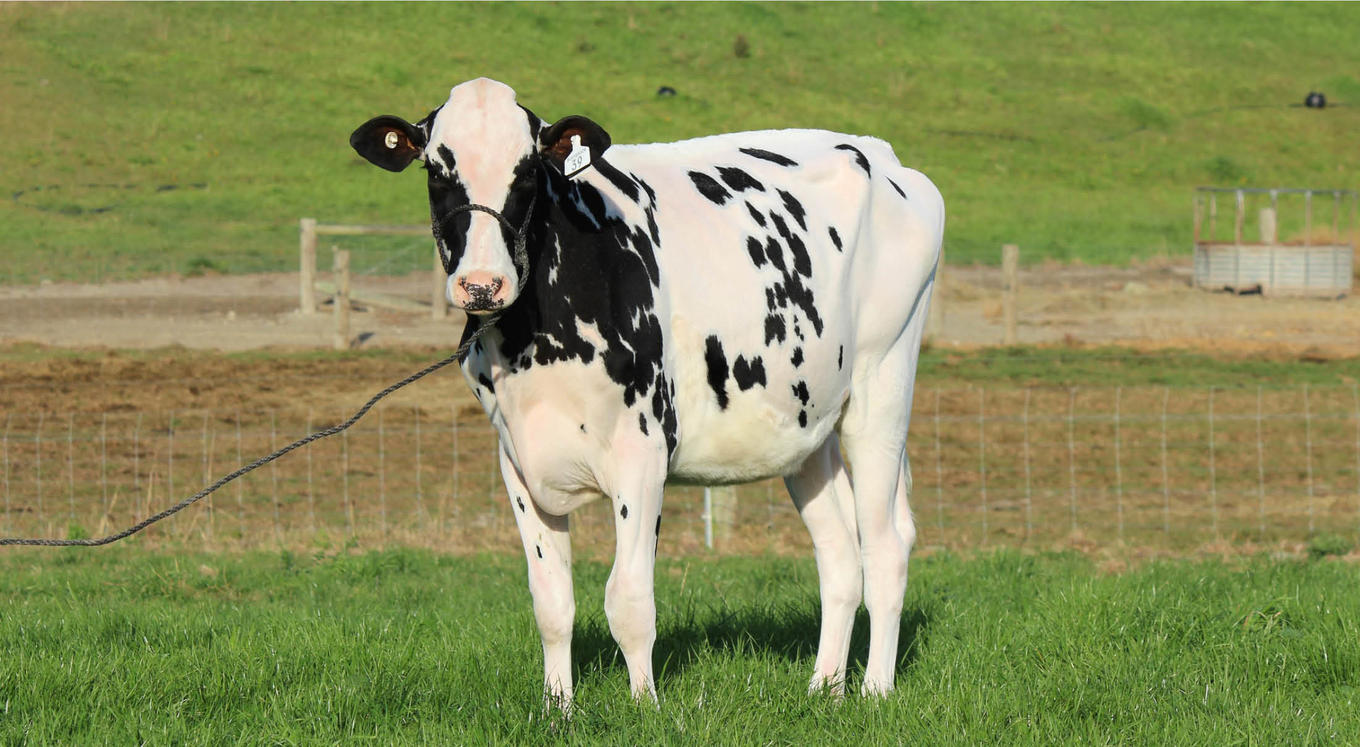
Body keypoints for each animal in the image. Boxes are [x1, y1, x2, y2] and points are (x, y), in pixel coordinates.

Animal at [350, 78, 944, 707]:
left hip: (883, 386)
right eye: (437, 171)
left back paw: (875, 690)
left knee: (885, 545)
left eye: (529, 170)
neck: (531, 344)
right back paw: (823, 688)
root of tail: (880, 153)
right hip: (807, 424)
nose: (482, 285)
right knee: (840, 557)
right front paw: (558, 709)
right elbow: (551, 604)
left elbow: (629, 599)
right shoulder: (517, 458)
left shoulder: (643, 448)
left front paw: (645, 706)